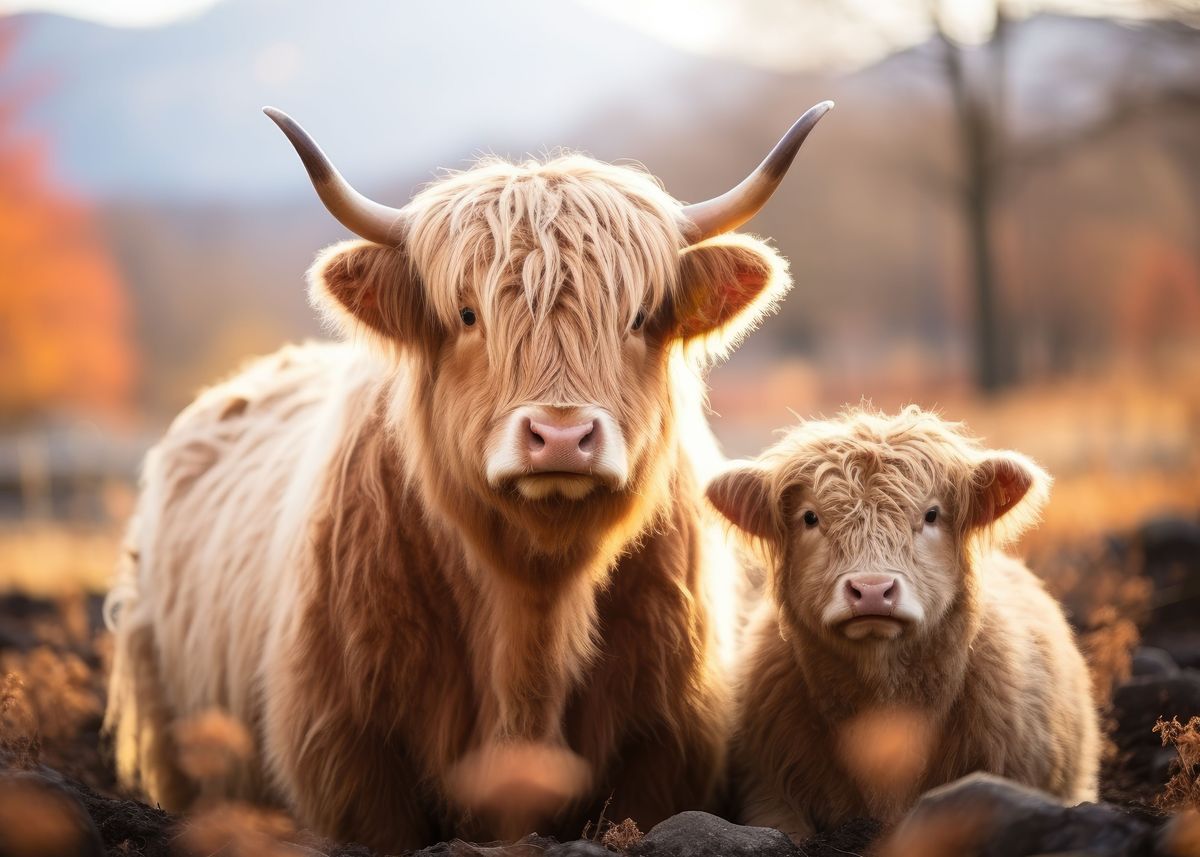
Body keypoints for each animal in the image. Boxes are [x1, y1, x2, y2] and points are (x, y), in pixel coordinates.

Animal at [104, 101, 834, 850]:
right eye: (466, 314)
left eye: (635, 317)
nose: (561, 435)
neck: (532, 608)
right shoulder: (349, 758)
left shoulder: (664, 749)